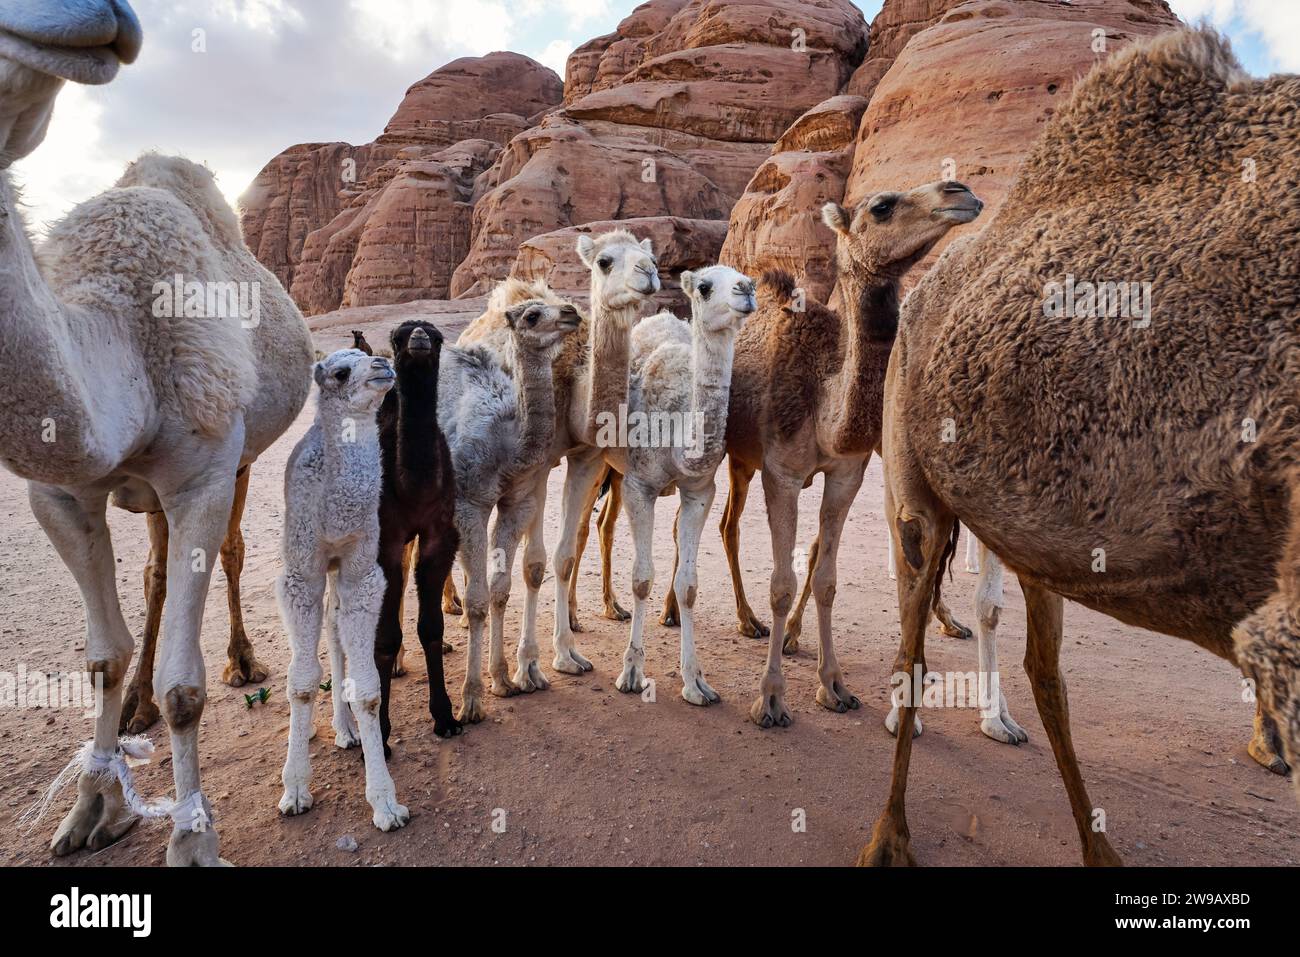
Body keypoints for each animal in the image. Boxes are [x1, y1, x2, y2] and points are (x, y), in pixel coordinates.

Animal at [0, 0, 314, 865]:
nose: (99, 16)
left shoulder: (204, 470)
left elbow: (186, 688)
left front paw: (193, 841)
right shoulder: (60, 495)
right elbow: (101, 659)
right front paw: (91, 809)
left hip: (241, 456)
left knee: (229, 554)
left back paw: (242, 659)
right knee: (157, 573)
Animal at [277, 349, 407, 831]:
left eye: (371, 358)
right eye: (339, 372)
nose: (382, 365)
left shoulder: (362, 572)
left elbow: (369, 690)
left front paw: (386, 804)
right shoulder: (301, 572)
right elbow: (300, 684)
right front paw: (295, 790)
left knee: (333, 632)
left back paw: (345, 729)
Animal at [456, 232, 660, 689]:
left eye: (651, 255)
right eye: (604, 261)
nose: (649, 274)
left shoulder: (587, 458)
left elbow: (564, 557)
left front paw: (567, 654)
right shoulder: (538, 465)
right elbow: (533, 565)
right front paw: (527, 666)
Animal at [611, 267, 755, 702]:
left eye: (747, 277)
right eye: (705, 287)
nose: (746, 290)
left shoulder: (700, 491)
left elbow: (688, 585)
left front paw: (696, 683)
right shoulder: (638, 486)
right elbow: (642, 578)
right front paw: (631, 672)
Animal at [862, 27, 1299, 868]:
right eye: (881, 203)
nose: (960, 189)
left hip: (1038, 531)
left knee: (1041, 664)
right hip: (914, 475)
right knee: (916, 621)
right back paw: (887, 832)